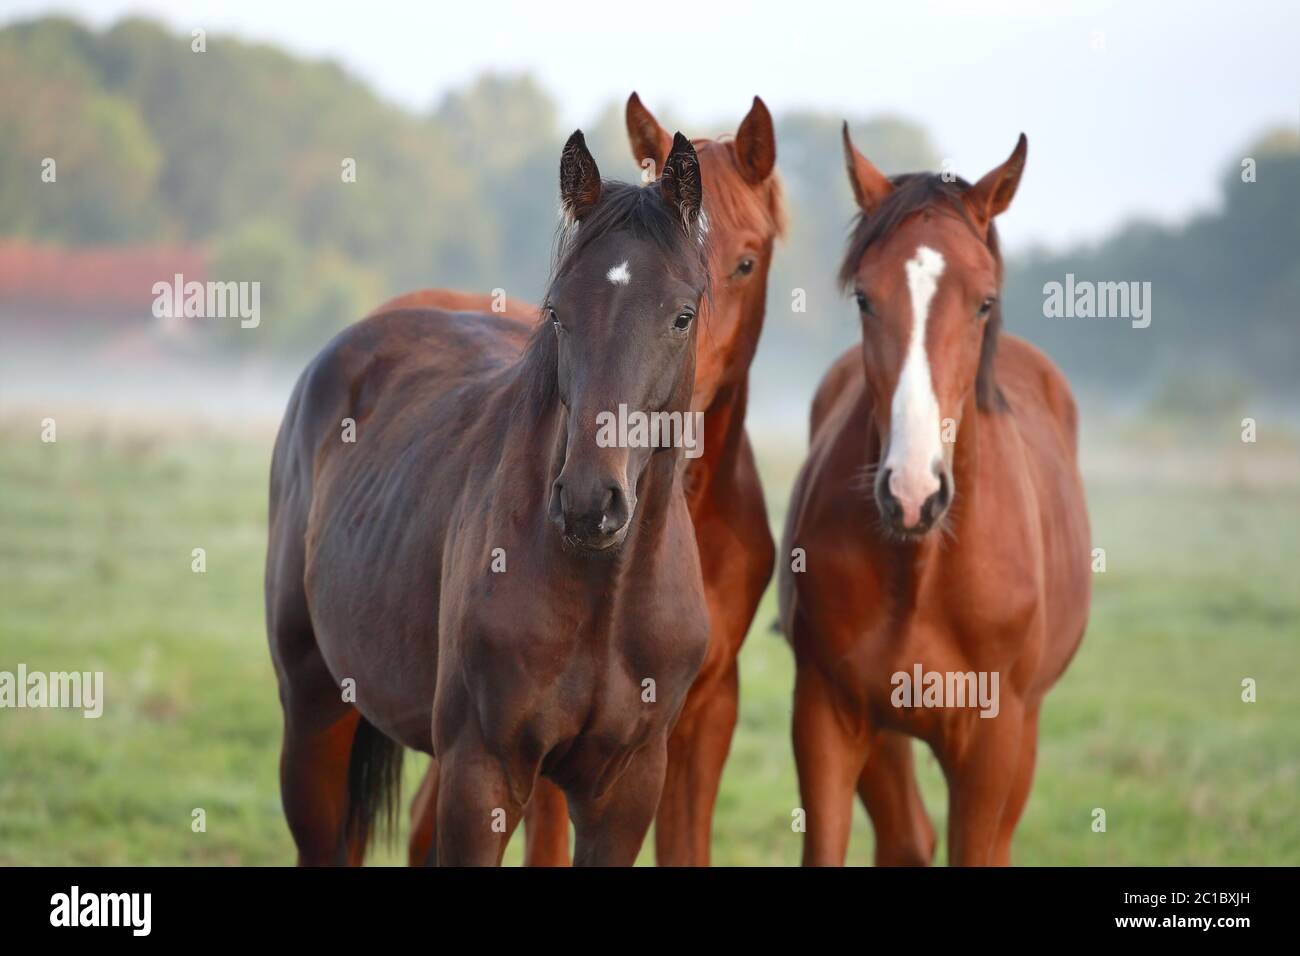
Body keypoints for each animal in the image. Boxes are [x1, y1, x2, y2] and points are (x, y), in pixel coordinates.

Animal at [265, 130, 714, 866]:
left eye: (681, 315)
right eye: (557, 310)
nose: (589, 504)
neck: (605, 598)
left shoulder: (626, 787)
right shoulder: (483, 774)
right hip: (314, 712)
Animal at [777, 127, 1091, 866]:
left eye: (984, 300)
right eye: (865, 298)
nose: (913, 491)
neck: (922, 570)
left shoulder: (992, 743)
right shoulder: (827, 718)